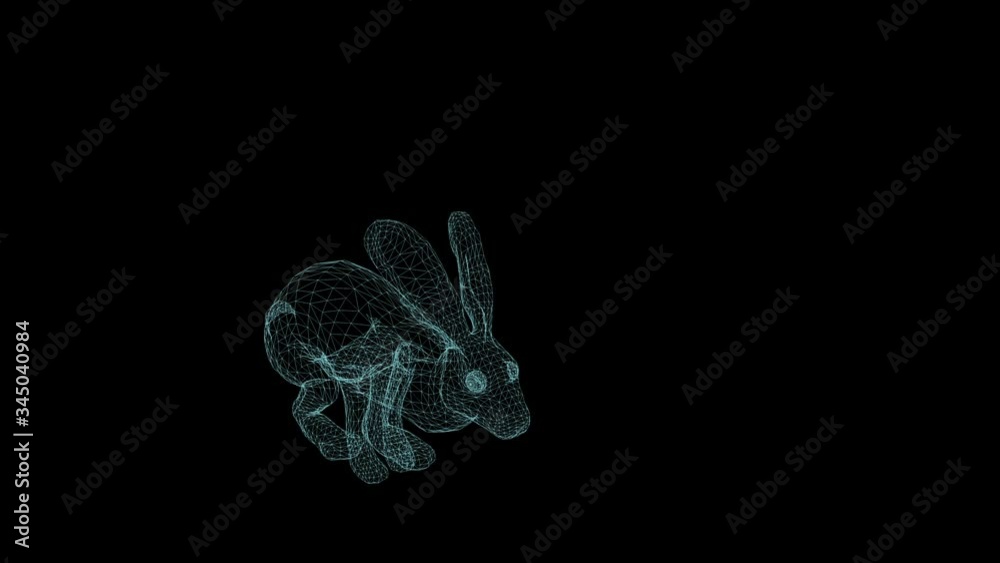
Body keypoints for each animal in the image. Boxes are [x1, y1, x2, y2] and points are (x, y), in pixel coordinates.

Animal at [263, 211, 529, 484]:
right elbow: (370, 421)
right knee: (307, 402)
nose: (519, 424)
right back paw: (338, 446)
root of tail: (283, 295)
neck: (438, 370)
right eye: (474, 383)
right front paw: (387, 460)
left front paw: (404, 456)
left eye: (514, 370)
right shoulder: (377, 367)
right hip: (300, 360)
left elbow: (379, 417)